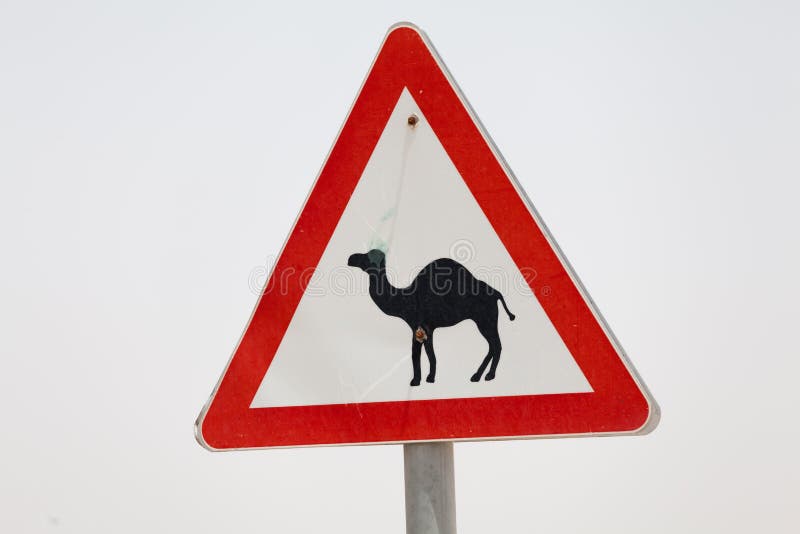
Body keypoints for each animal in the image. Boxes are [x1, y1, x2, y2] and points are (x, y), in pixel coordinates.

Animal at [347, 249, 515, 386]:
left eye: (367, 259)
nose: (351, 258)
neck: (404, 298)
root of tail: (496, 293)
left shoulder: (419, 325)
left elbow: (419, 353)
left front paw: (419, 381)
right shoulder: (425, 327)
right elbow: (426, 352)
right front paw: (426, 378)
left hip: (486, 319)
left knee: (496, 345)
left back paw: (488, 375)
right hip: (485, 320)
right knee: (493, 346)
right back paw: (477, 376)